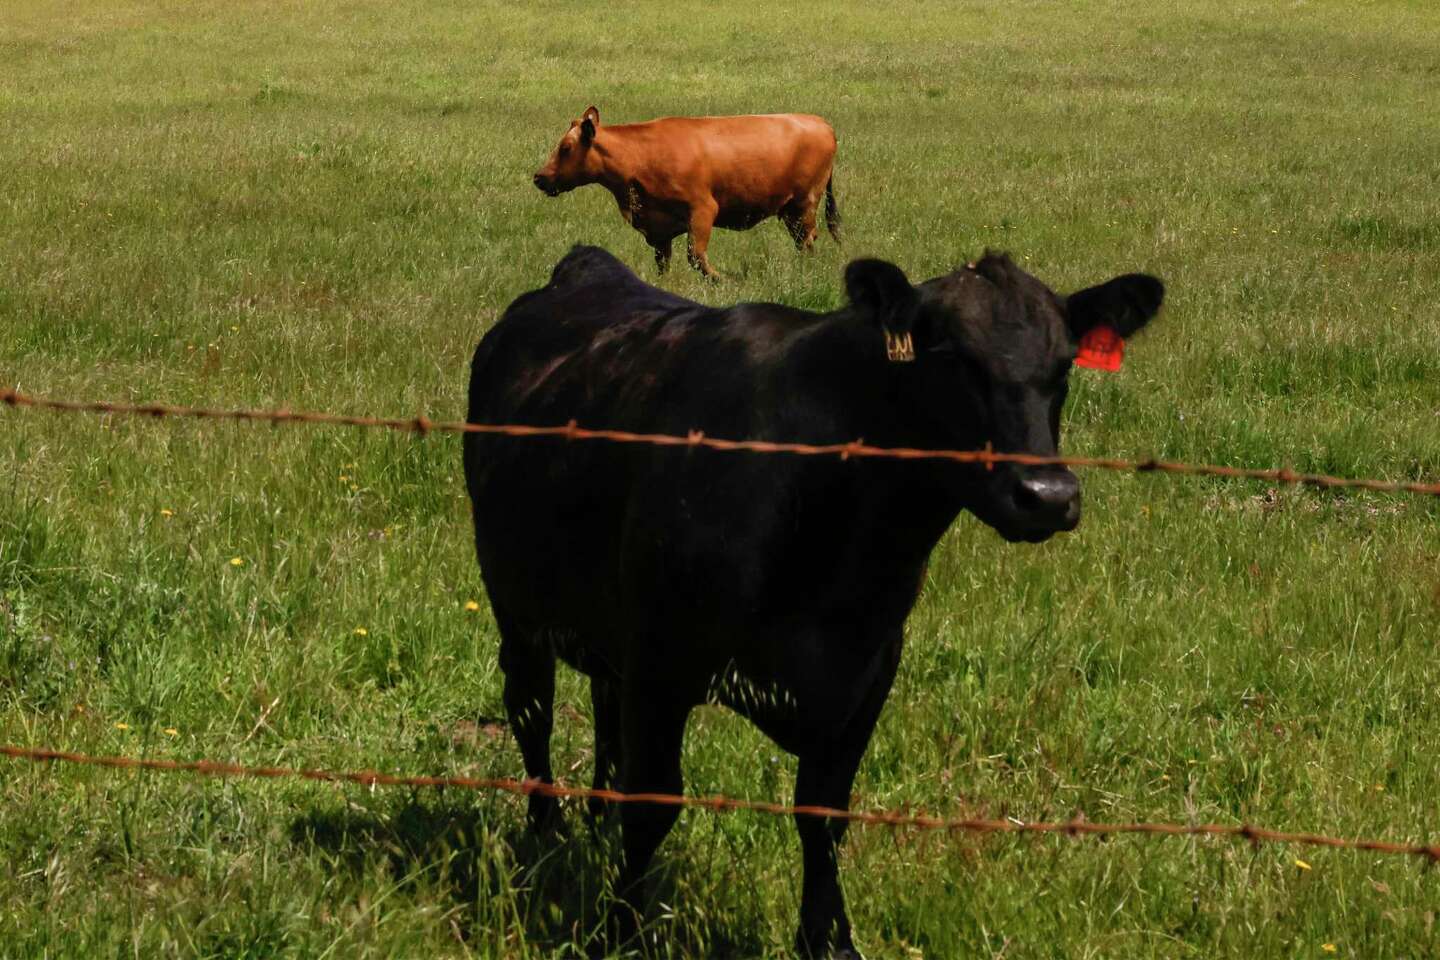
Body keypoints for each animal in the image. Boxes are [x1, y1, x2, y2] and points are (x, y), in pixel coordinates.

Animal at [462, 245, 1164, 958]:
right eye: (952, 357)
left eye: (1064, 364)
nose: (1046, 495)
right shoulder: (661, 661)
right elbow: (653, 805)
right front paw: (622, 931)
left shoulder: (868, 670)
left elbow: (823, 815)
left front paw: (828, 938)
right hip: (516, 609)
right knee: (532, 715)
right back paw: (544, 836)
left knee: (603, 712)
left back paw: (595, 821)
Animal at [531, 107, 841, 279]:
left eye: (566, 148)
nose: (539, 177)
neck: (640, 156)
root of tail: (821, 123)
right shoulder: (658, 229)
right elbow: (663, 262)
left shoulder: (702, 210)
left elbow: (695, 255)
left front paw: (721, 279)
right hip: (791, 211)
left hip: (804, 204)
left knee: (806, 240)